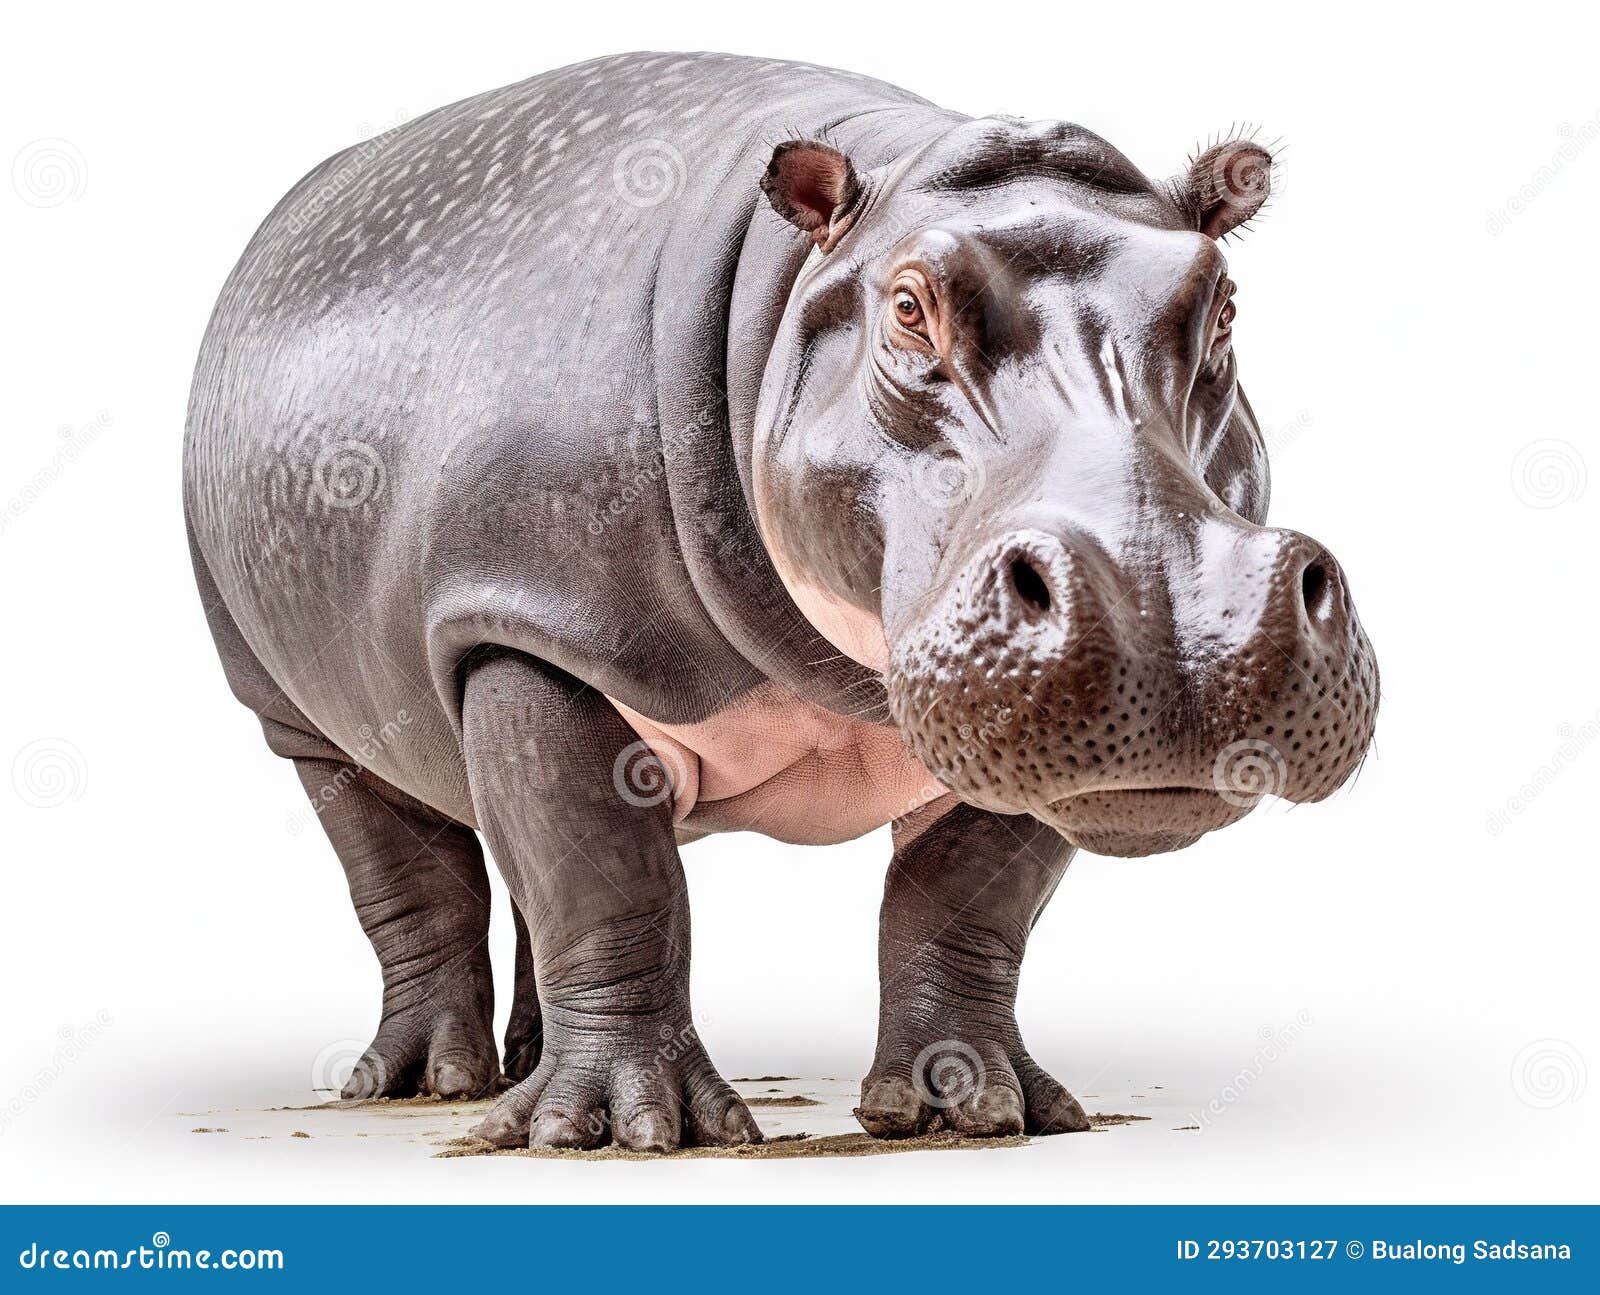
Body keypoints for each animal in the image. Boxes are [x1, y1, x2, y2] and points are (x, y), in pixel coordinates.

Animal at [184, 51, 1378, 1152]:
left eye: (1222, 306)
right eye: (908, 307)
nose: (1168, 622)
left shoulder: (1005, 723)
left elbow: (962, 897)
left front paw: (978, 1109)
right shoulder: (529, 632)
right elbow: (609, 883)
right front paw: (617, 1130)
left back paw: (518, 1064)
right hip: (294, 709)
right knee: (409, 870)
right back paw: (425, 1085)